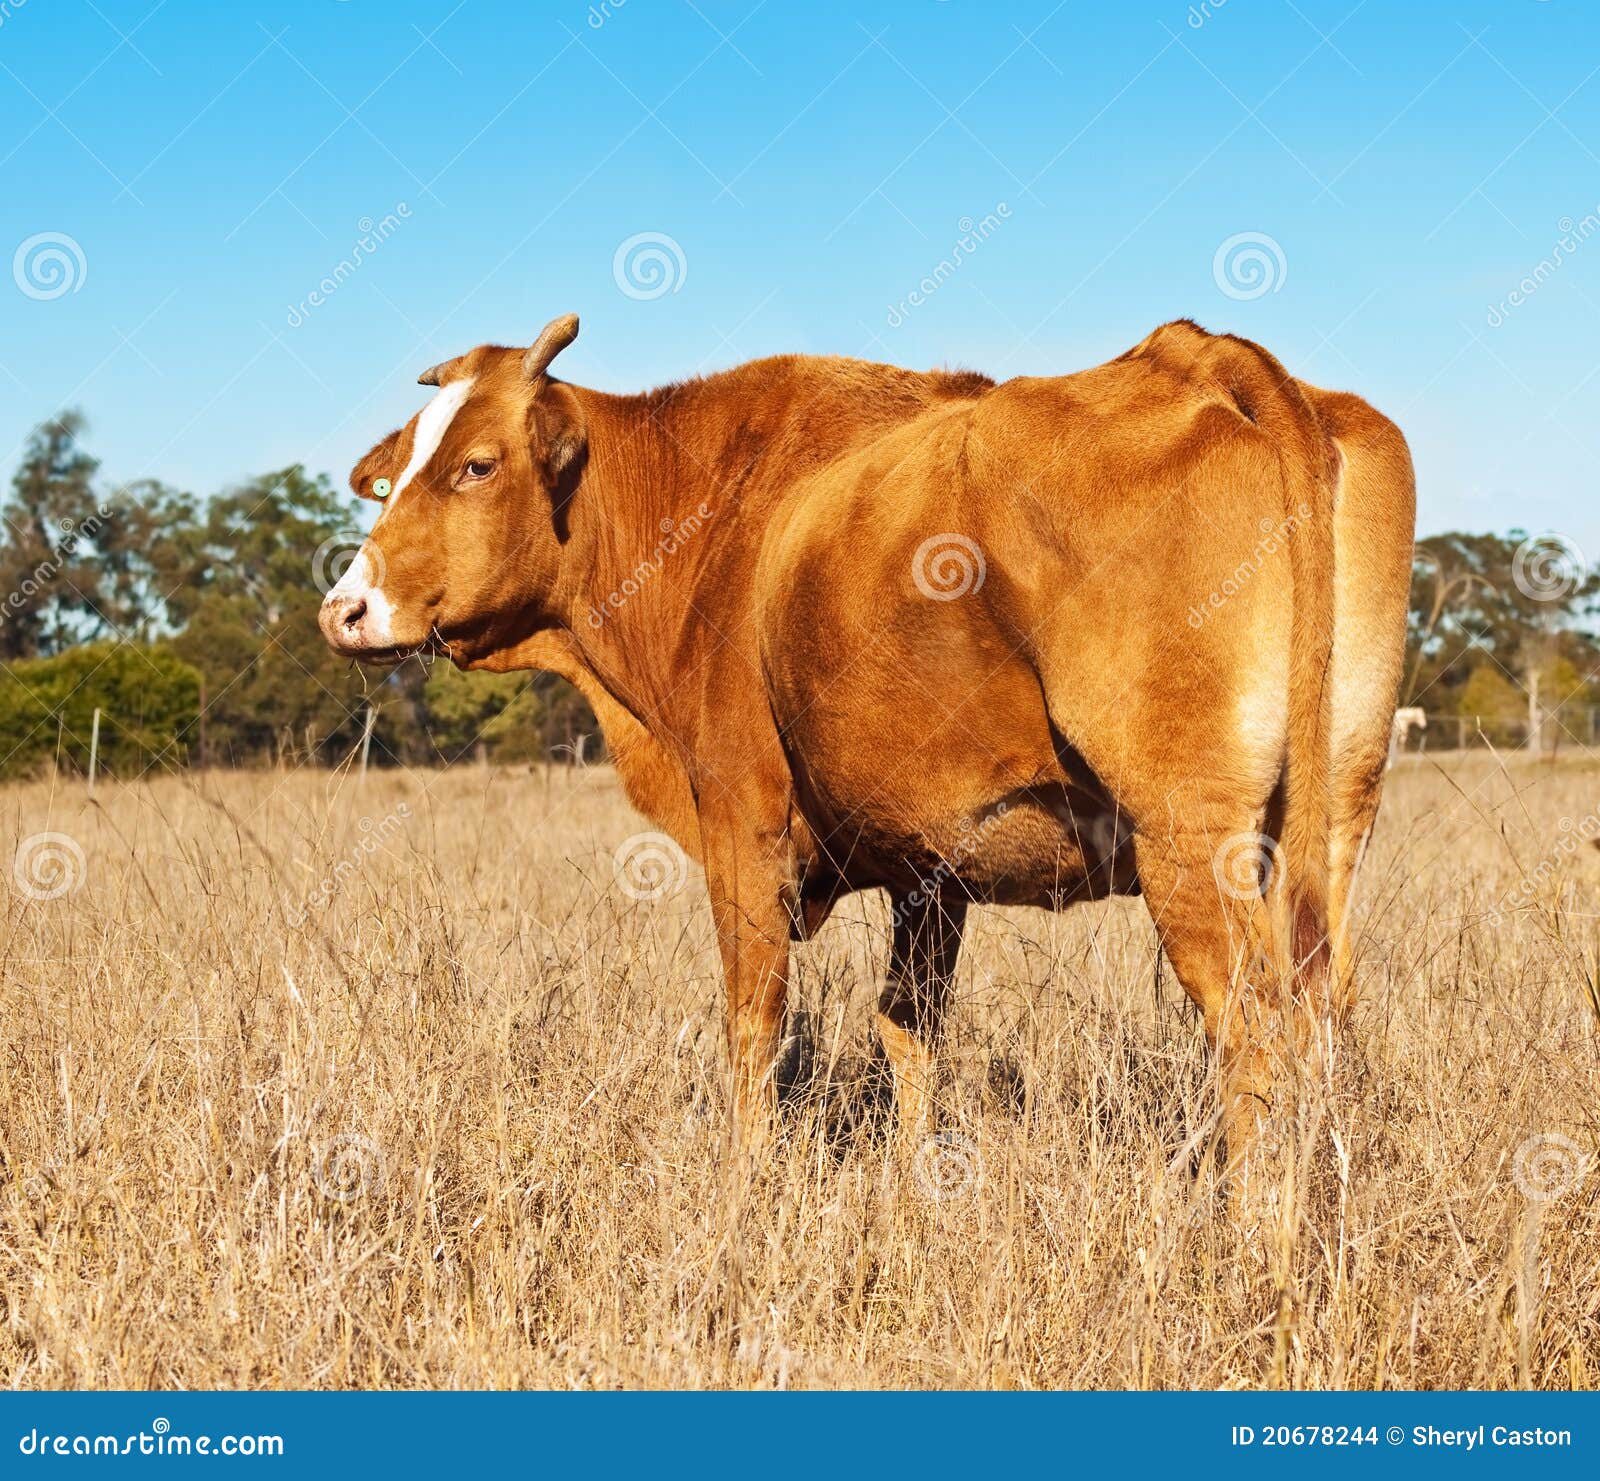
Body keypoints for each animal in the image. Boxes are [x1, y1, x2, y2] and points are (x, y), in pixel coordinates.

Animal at [319, 315, 1415, 1168]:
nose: (346, 609)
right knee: (1324, 1010)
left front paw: (744, 1188)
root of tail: (1195, 352)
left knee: (1256, 1035)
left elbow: (755, 1026)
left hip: (1189, 839)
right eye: (392, 477)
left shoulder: (743, 818)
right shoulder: (932, 869)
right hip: (1330, 827)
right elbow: (909, 1029)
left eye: (476, 464)